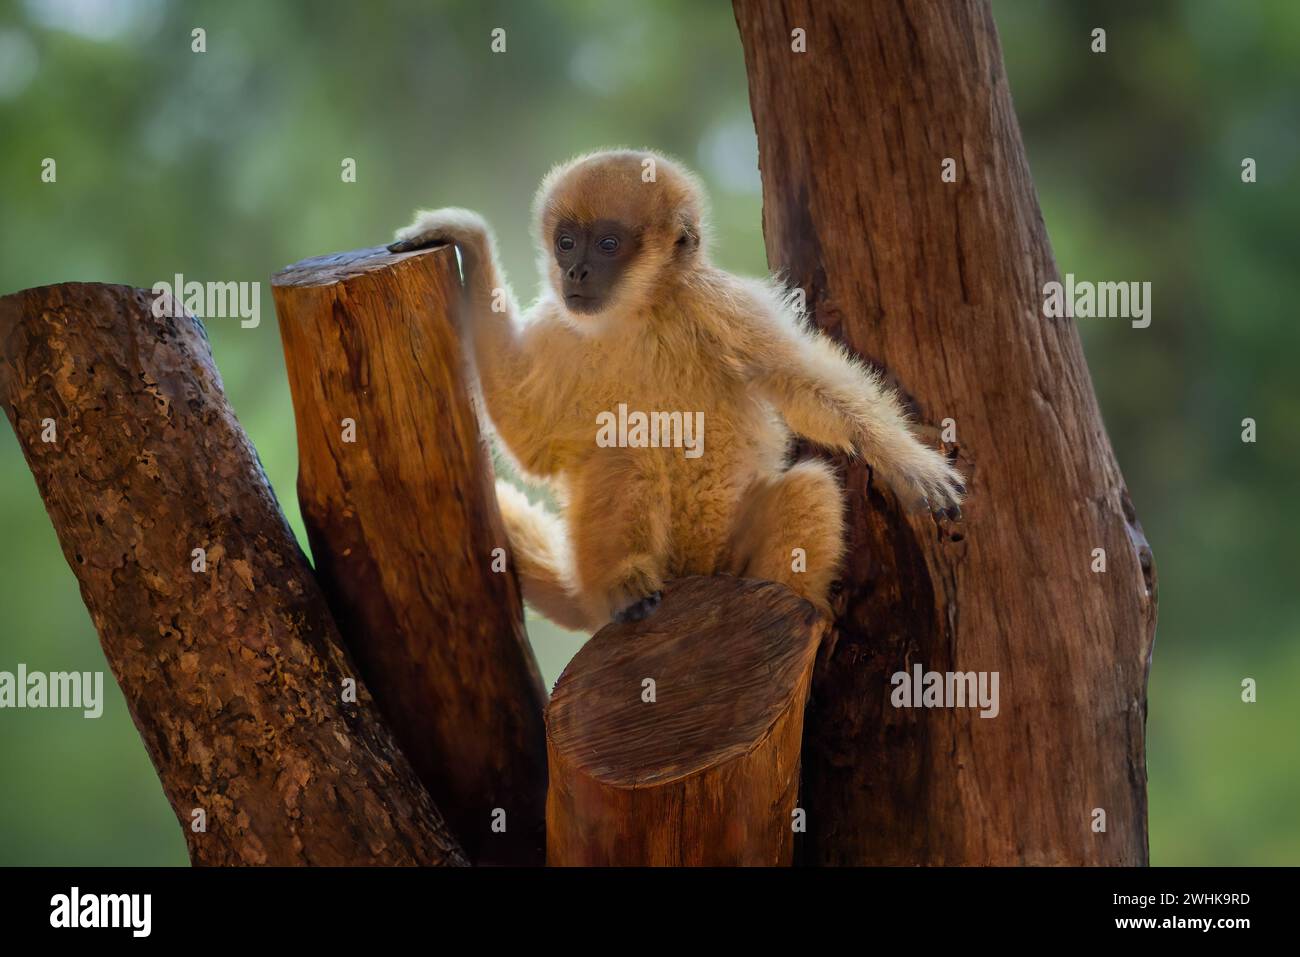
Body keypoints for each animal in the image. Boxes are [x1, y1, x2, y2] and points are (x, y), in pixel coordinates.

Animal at [390, 149, 963, 632]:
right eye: (566, 242)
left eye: (608, 245)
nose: (575, 270)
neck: (639, 315)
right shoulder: (562, 329)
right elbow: (535, 440)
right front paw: (468, 242)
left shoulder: (718, 302)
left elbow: (800, 380)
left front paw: (907, 462)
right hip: (597, 568)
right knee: (627, 455)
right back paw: (627, 588)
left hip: (725, 562)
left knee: (808, 486)